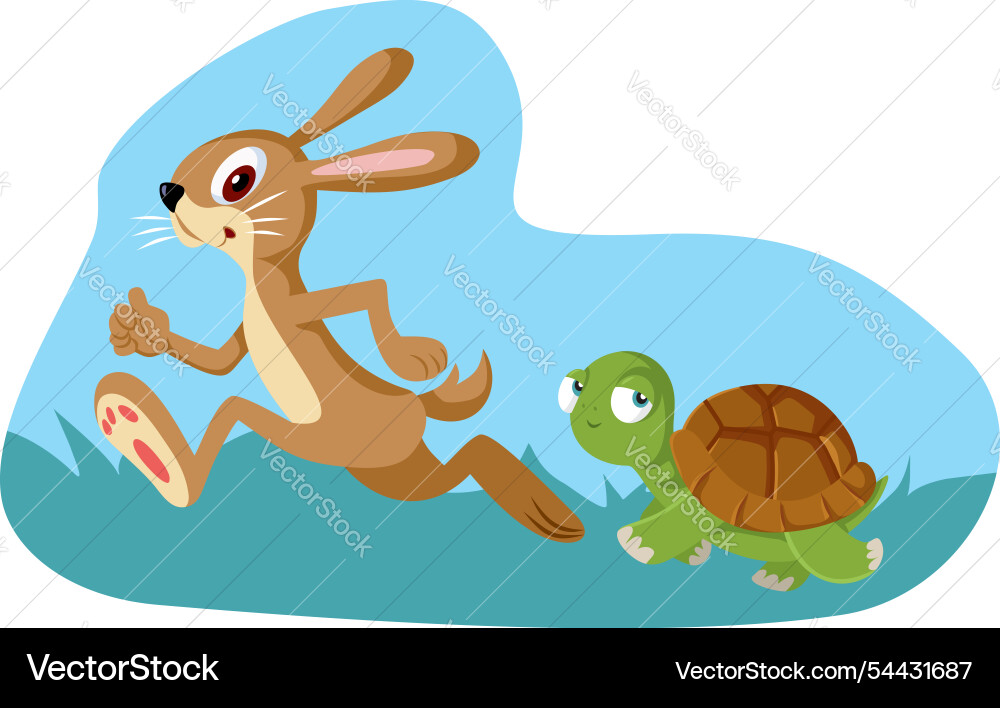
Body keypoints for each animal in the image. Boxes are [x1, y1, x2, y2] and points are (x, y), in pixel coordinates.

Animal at [95, 48, 584, 543]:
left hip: (343, 442)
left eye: (238, 180)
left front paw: (412, 358)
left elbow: (372, 291)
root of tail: (418, 409)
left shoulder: (298, 309)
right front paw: (138, 331)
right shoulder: (244, 333)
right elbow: (221, 362)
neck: (262, 283)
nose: (168, 192)